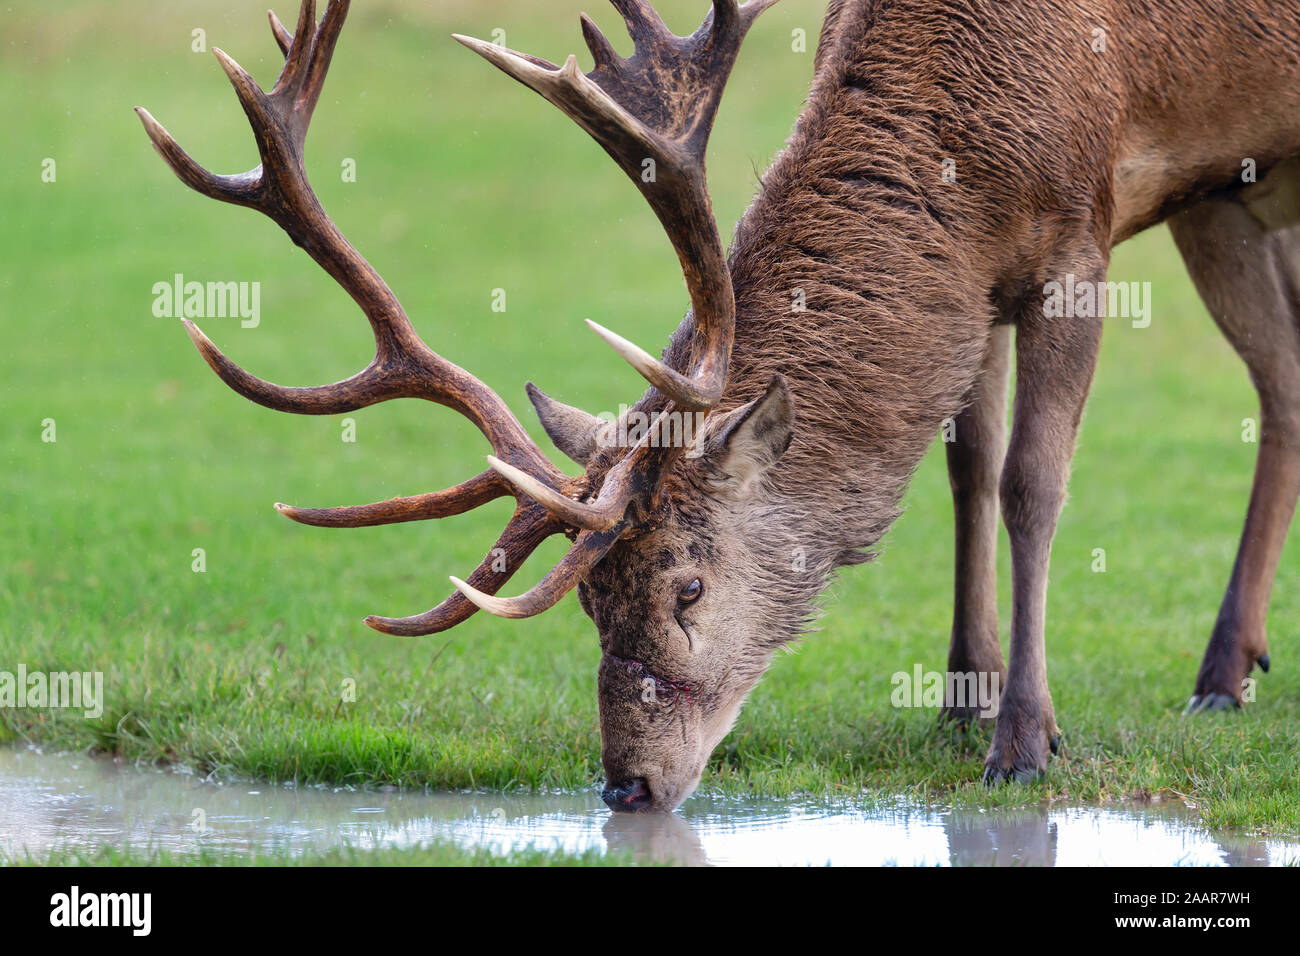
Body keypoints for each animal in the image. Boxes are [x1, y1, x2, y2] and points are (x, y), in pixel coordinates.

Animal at [137, 0, 1300, 812]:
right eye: (591, 601)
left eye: (689, 585)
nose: (626, 785)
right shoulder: (972, 282)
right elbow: (966, 467)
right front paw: (957, 699)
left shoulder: (1073, 247)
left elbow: (1031, 483)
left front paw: (1024, 740)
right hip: (1231, 198)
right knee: (1283, 377)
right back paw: (1228, 665)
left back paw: (1217, 672)